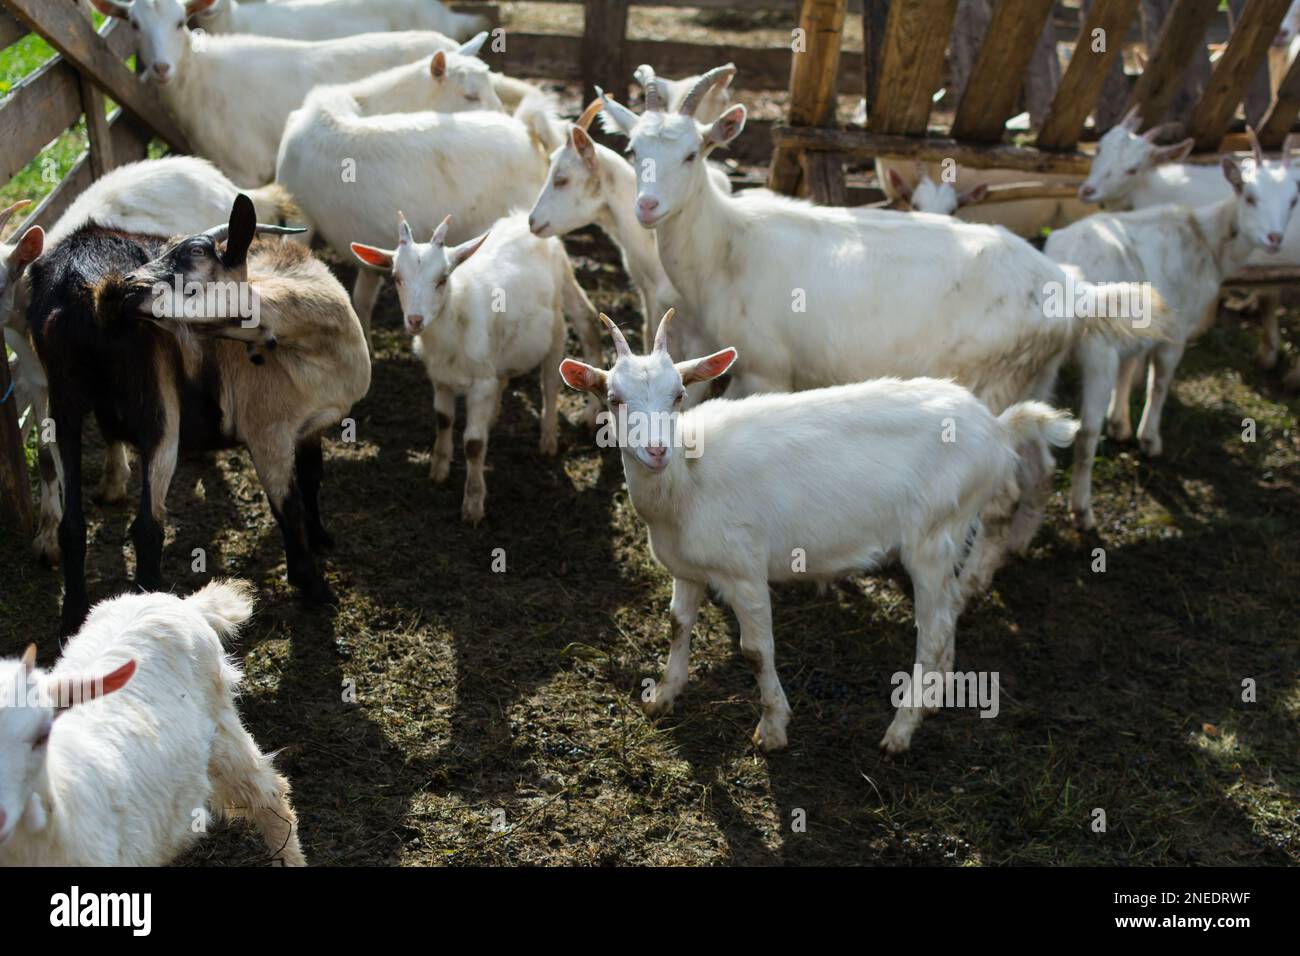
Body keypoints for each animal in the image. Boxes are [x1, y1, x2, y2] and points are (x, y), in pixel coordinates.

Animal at [27, 195, 369, 635]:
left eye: (193, 254)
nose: (128, 286)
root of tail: (82, 282)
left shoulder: (310, 426)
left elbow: (312, 478)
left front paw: (321, 537)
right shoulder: (267, 432)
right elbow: (287, 504)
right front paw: (313, 586)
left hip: (62, 402)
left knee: (73, 524)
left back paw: (72, 617)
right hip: (158, 410)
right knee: (147, 526)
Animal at [352, 212, 595, 523]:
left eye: (443, 279)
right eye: (396, 278)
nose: (415, 320)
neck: (456, 318)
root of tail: (521, 219)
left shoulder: (479, 384)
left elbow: (474, 444)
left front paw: (473, 504)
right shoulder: (441, 379)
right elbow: (443, 419)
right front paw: (439, 470)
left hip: (556, 332)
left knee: (550, 386)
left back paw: (548, 439)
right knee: (502, 378)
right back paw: (493, 417)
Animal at [561, 311, 1078, 754]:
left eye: (679, 396)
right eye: (614, 399)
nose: (656, 450)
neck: (687, 479)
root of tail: (997, 429)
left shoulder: (744, 570)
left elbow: (754, 651)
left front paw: (772, 728)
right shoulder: (686, 569)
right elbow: (676, 623)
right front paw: (663, 696)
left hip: (930, 537)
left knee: (931, 628)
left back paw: (901, 731)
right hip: (952, 529)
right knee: (948, 610)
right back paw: (936, 695)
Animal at [597, 66, 1171, 571]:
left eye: (692, 153)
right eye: (634, 150)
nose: (647, 207)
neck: (728, 245)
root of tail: (1071, 290)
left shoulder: (765, 369)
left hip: (994, 382)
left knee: (1006, 488)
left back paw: (974, 579)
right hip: (1033, 374)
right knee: (1040, 470)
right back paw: (1014, 550)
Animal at [1047, 133, 1300, 530]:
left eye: (1293, 200)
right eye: (1249, 195)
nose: (1274, 238)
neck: (1206, 238)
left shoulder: (1140, 329)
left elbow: (1129, 370)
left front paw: (1120, 424)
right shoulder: (1177, 327)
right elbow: (1161, 380)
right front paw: (1149, 439)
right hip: (1098, 350)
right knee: (1086, 432)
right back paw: (1082, 509)